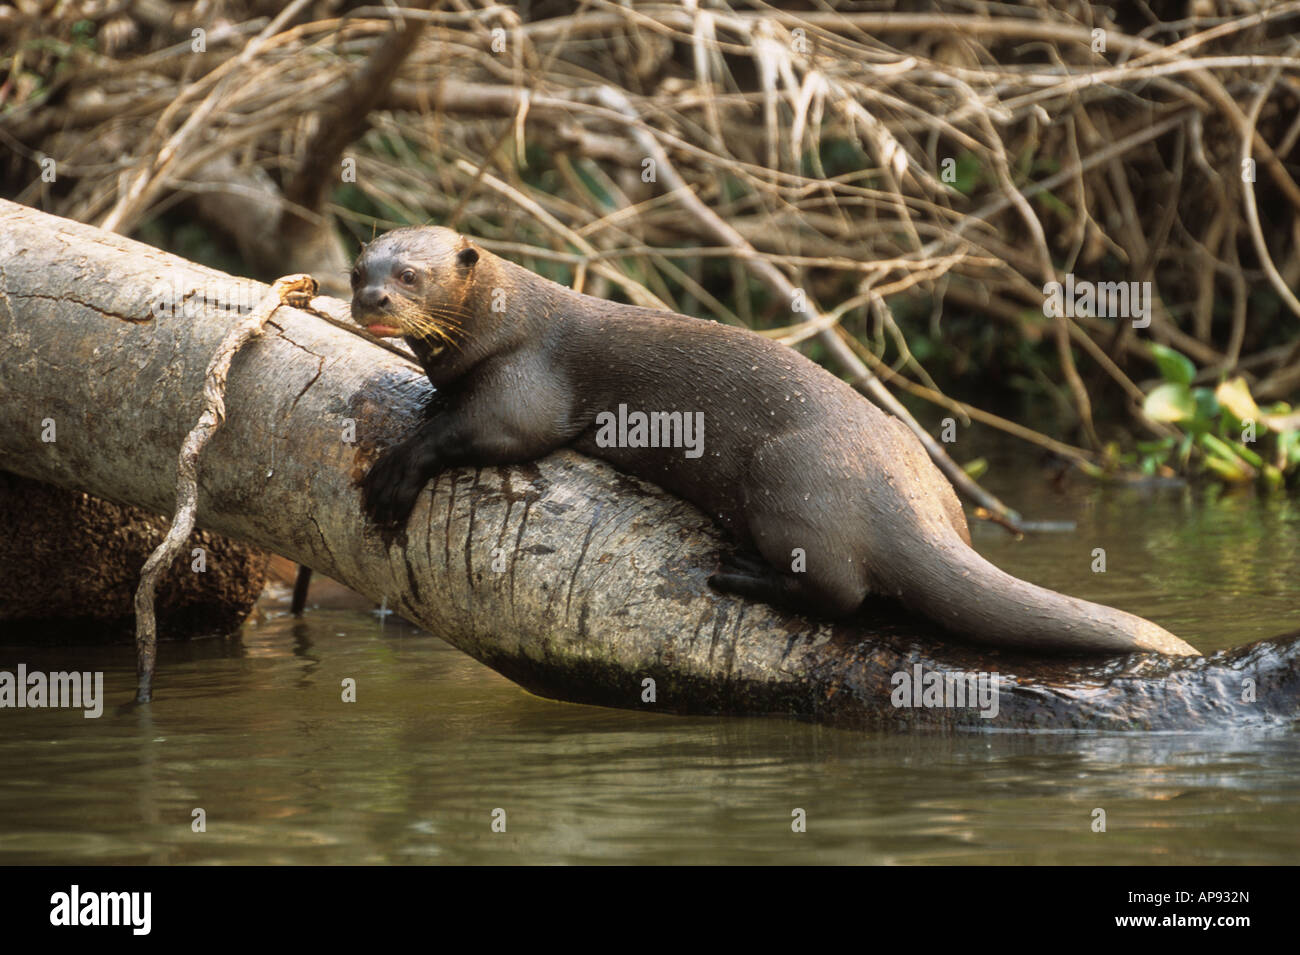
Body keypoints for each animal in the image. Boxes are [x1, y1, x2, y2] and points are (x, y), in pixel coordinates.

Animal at [350, 226, 1198, 657]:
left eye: (413, 276)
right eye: (361, 265)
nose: (371, 299)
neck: (500, 318)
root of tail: (901, 495)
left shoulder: (526, 378)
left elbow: (491, 432)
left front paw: (395, 473)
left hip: (784, 475)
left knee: (841, 593)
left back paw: (739, 573)